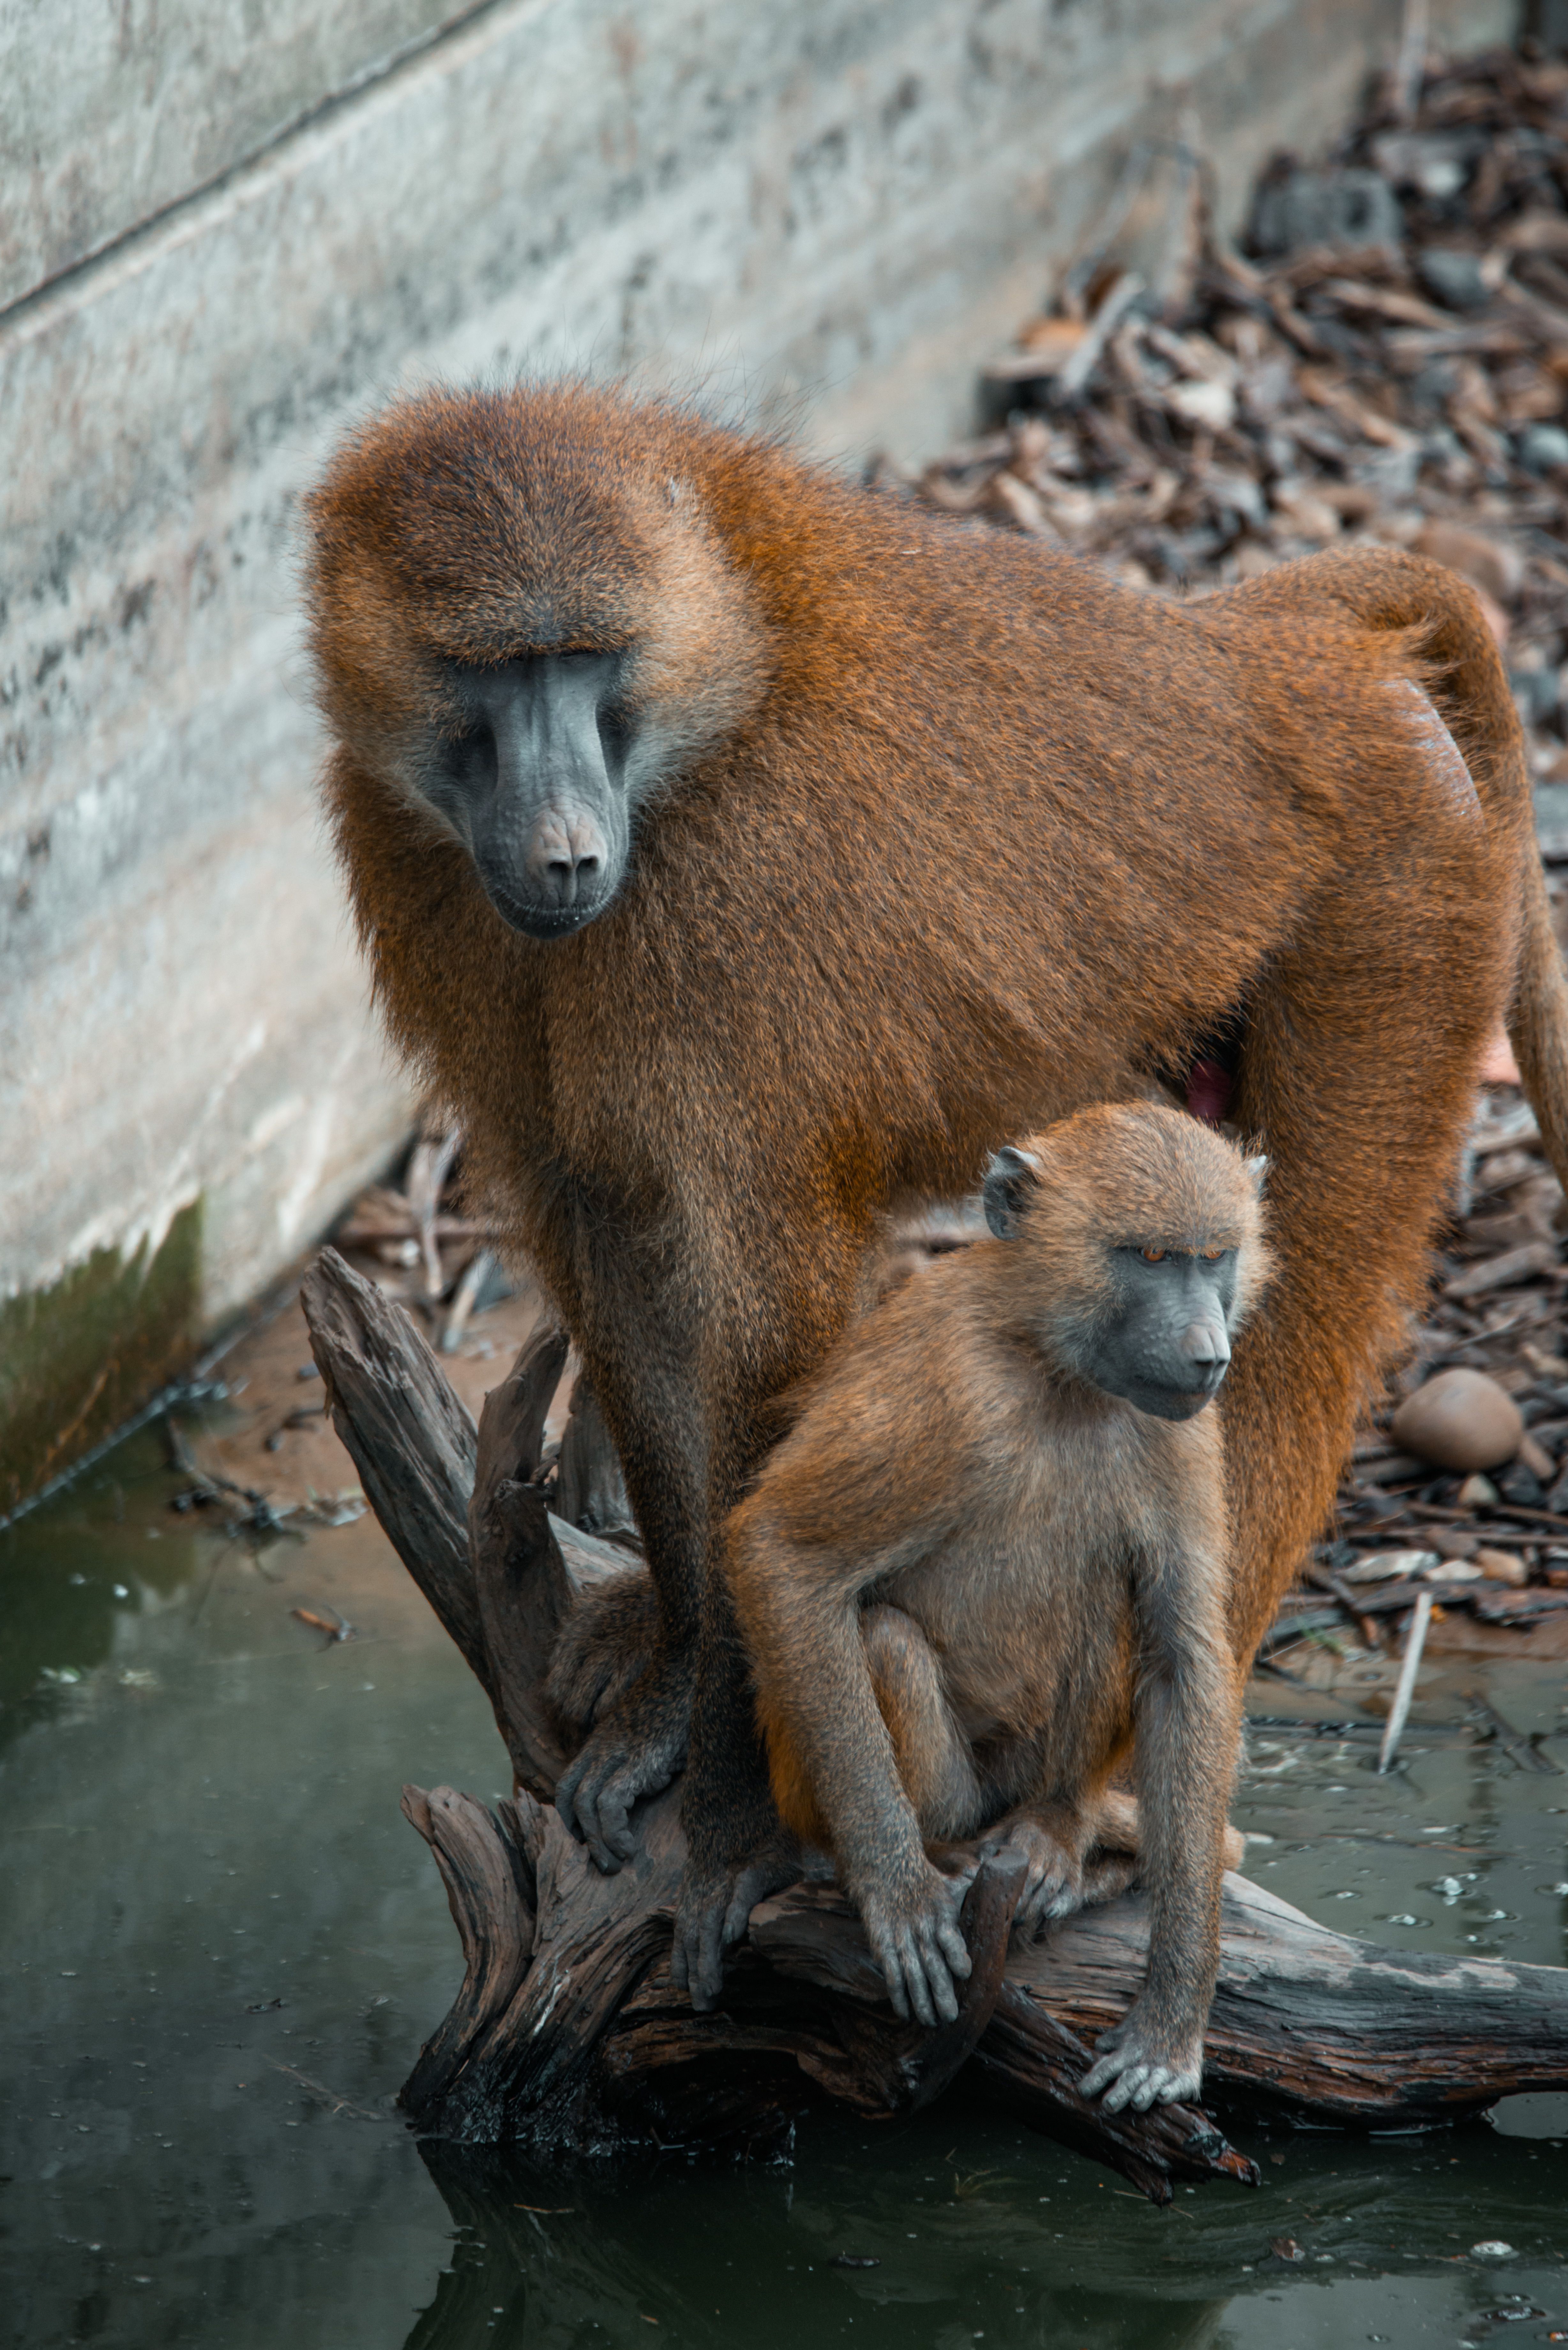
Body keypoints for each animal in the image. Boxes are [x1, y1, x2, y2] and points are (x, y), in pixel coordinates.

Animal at [724, 1102, 1265, 2107]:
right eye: (1148, 1257)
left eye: (1216, 1256)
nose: (1208, 1354)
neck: (1050, 1361)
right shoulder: (942, 1386)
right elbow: (781, 1555)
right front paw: (896, 1897)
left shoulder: (1181, 1431)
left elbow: (1183, 1658)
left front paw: (1172, 2024)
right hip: (898, 1785)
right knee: (884, 1639)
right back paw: (924, 1855)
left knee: (1110, 1598)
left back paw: (1062, 1838)